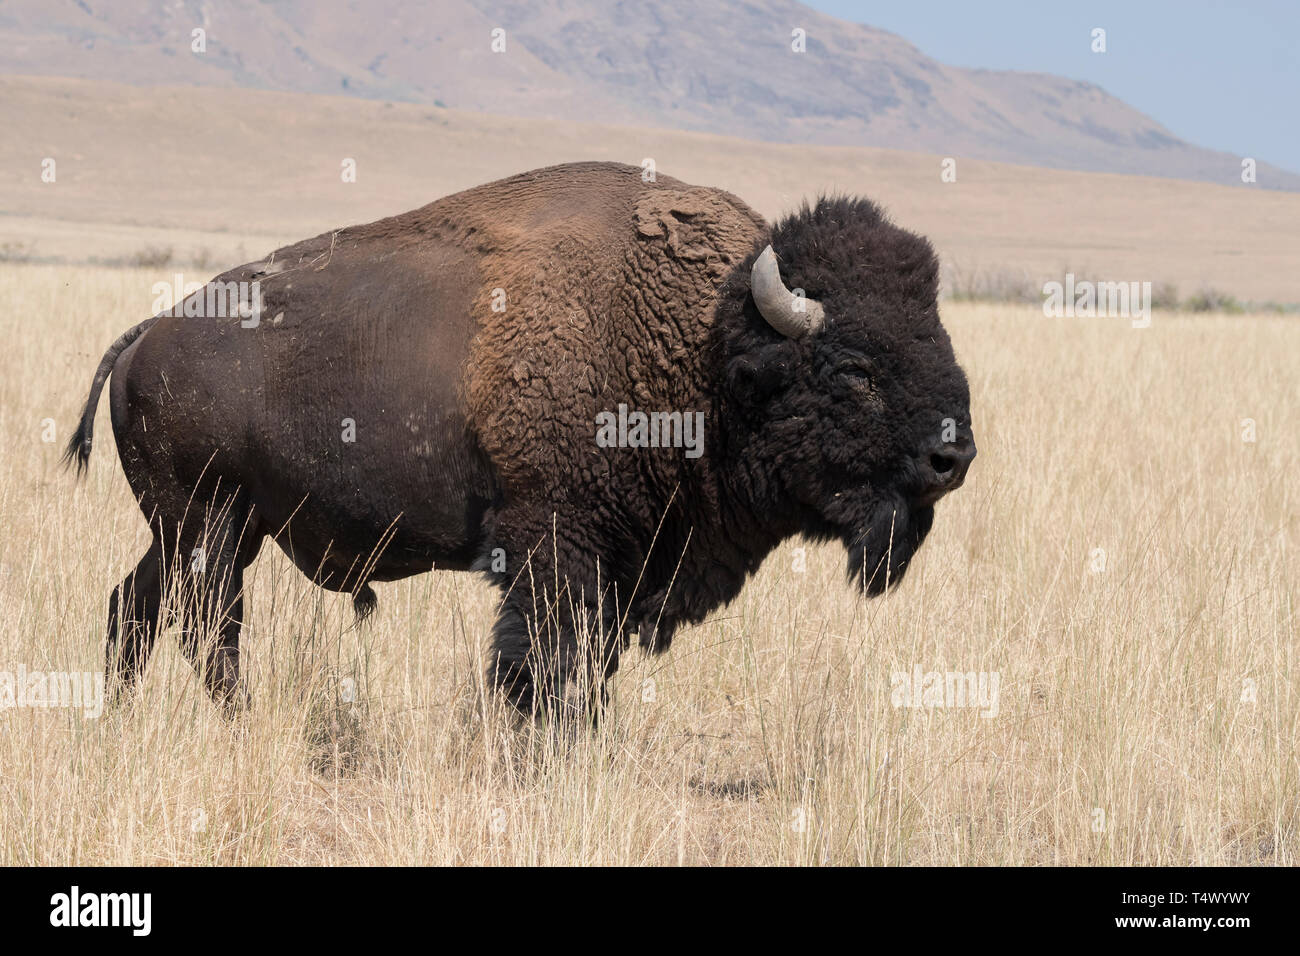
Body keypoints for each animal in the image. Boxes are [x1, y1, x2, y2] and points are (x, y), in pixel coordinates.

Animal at [67, 161, 975, 716]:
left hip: (202, 528)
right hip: (209, 526)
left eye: (938, 331)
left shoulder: (626, 560)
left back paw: (124, 716)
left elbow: (589, 665)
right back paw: (237, 719)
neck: (703, 348)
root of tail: (147, 335)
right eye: (854, 369)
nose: (953, 456)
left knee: (135, 609)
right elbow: (545, 663)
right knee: (204, 628)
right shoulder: (555, 547)